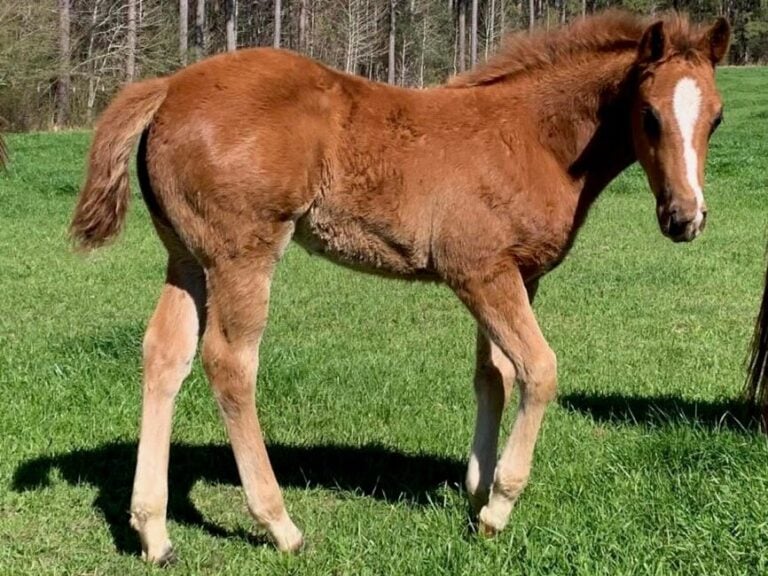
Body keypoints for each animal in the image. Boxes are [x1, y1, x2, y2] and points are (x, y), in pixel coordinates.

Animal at [69, 11, 730, 563]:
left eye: (716, 118)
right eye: (649, 115)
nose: (685, 218)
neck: (532, 137)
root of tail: (168, 88)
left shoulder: (517, 275)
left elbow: (495, 374)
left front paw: (474, 489)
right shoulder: (479, 272)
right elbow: (539, 370)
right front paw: (498, 507)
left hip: (187, 258)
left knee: (165, 355)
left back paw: (154, 534)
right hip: (242, 254)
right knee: (230, 363)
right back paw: (280, 525)